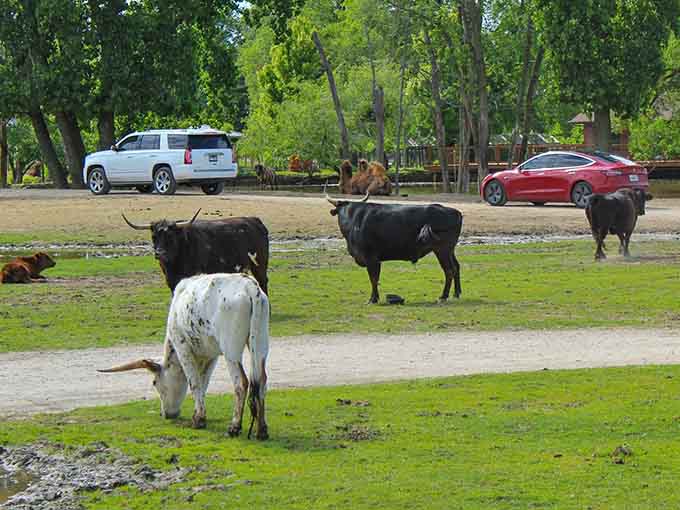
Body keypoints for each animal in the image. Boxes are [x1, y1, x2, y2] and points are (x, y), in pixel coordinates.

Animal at [99, 273, 270, 439]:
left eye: (154, 382)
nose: (166, 414)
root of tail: (250, 287)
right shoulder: (211, 356)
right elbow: (203, 383)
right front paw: (200, 413)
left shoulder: (183, 349)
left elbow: (194, 383)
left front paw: (198, 420)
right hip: (259, 344)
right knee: (261, 380)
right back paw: (261, 430)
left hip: (231, 350)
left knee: (241, 383)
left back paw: (234, 427)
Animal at [122, 209, 269, 294]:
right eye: (154, 237)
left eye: (170, 236)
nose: (160, 253)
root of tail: (254, 220)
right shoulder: (171, 280)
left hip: (259, 264)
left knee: (263, 281)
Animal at [326, 193, 462, 303]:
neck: (354, 219)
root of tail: (455, 212)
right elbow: (375, 278)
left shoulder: (371, 258)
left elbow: (373, 278)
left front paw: (373, 299)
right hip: (450, 250)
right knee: (456, 267)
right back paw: (456, 293)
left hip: (442, 250)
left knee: (449, 270)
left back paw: (443, 296)